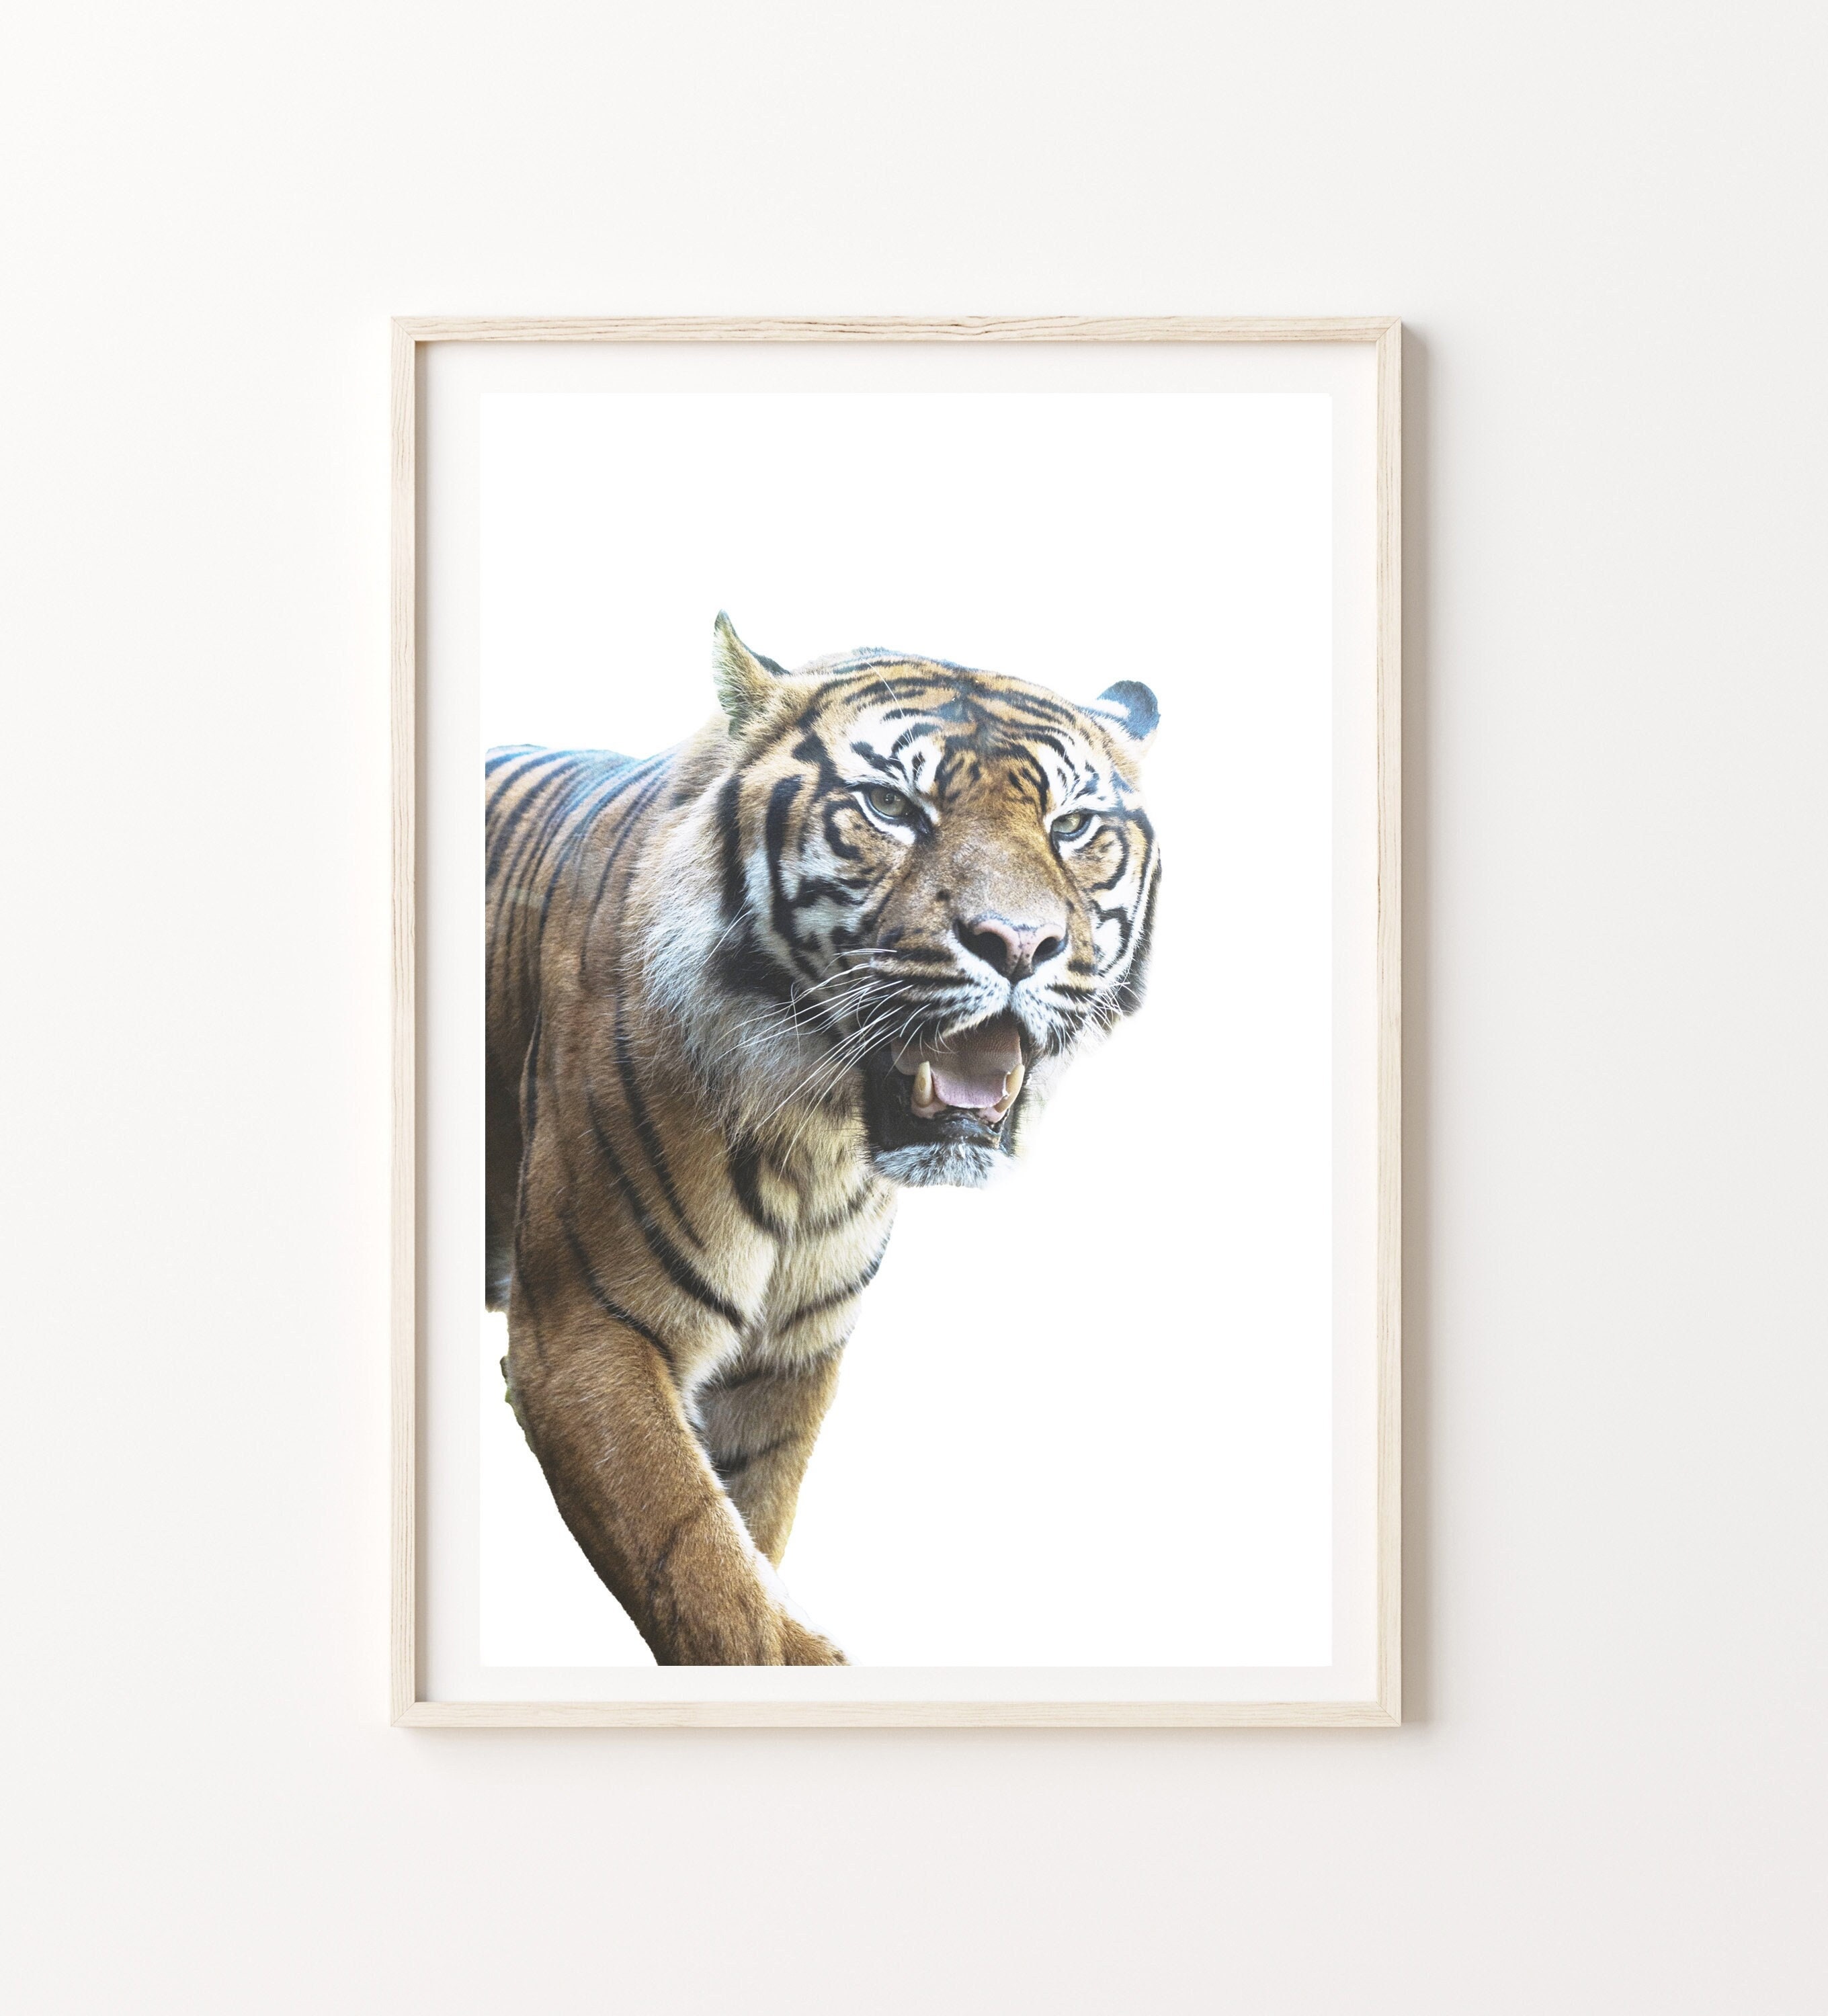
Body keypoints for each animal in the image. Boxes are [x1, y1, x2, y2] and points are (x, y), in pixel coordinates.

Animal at [486, 615, 1161, 1665]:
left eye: (1072, 826)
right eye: (891, 806)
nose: (1018, 944)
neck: (816, 1140)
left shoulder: (785, 1360)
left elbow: (747, 1528)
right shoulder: (583, 1329)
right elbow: (703, 1567)